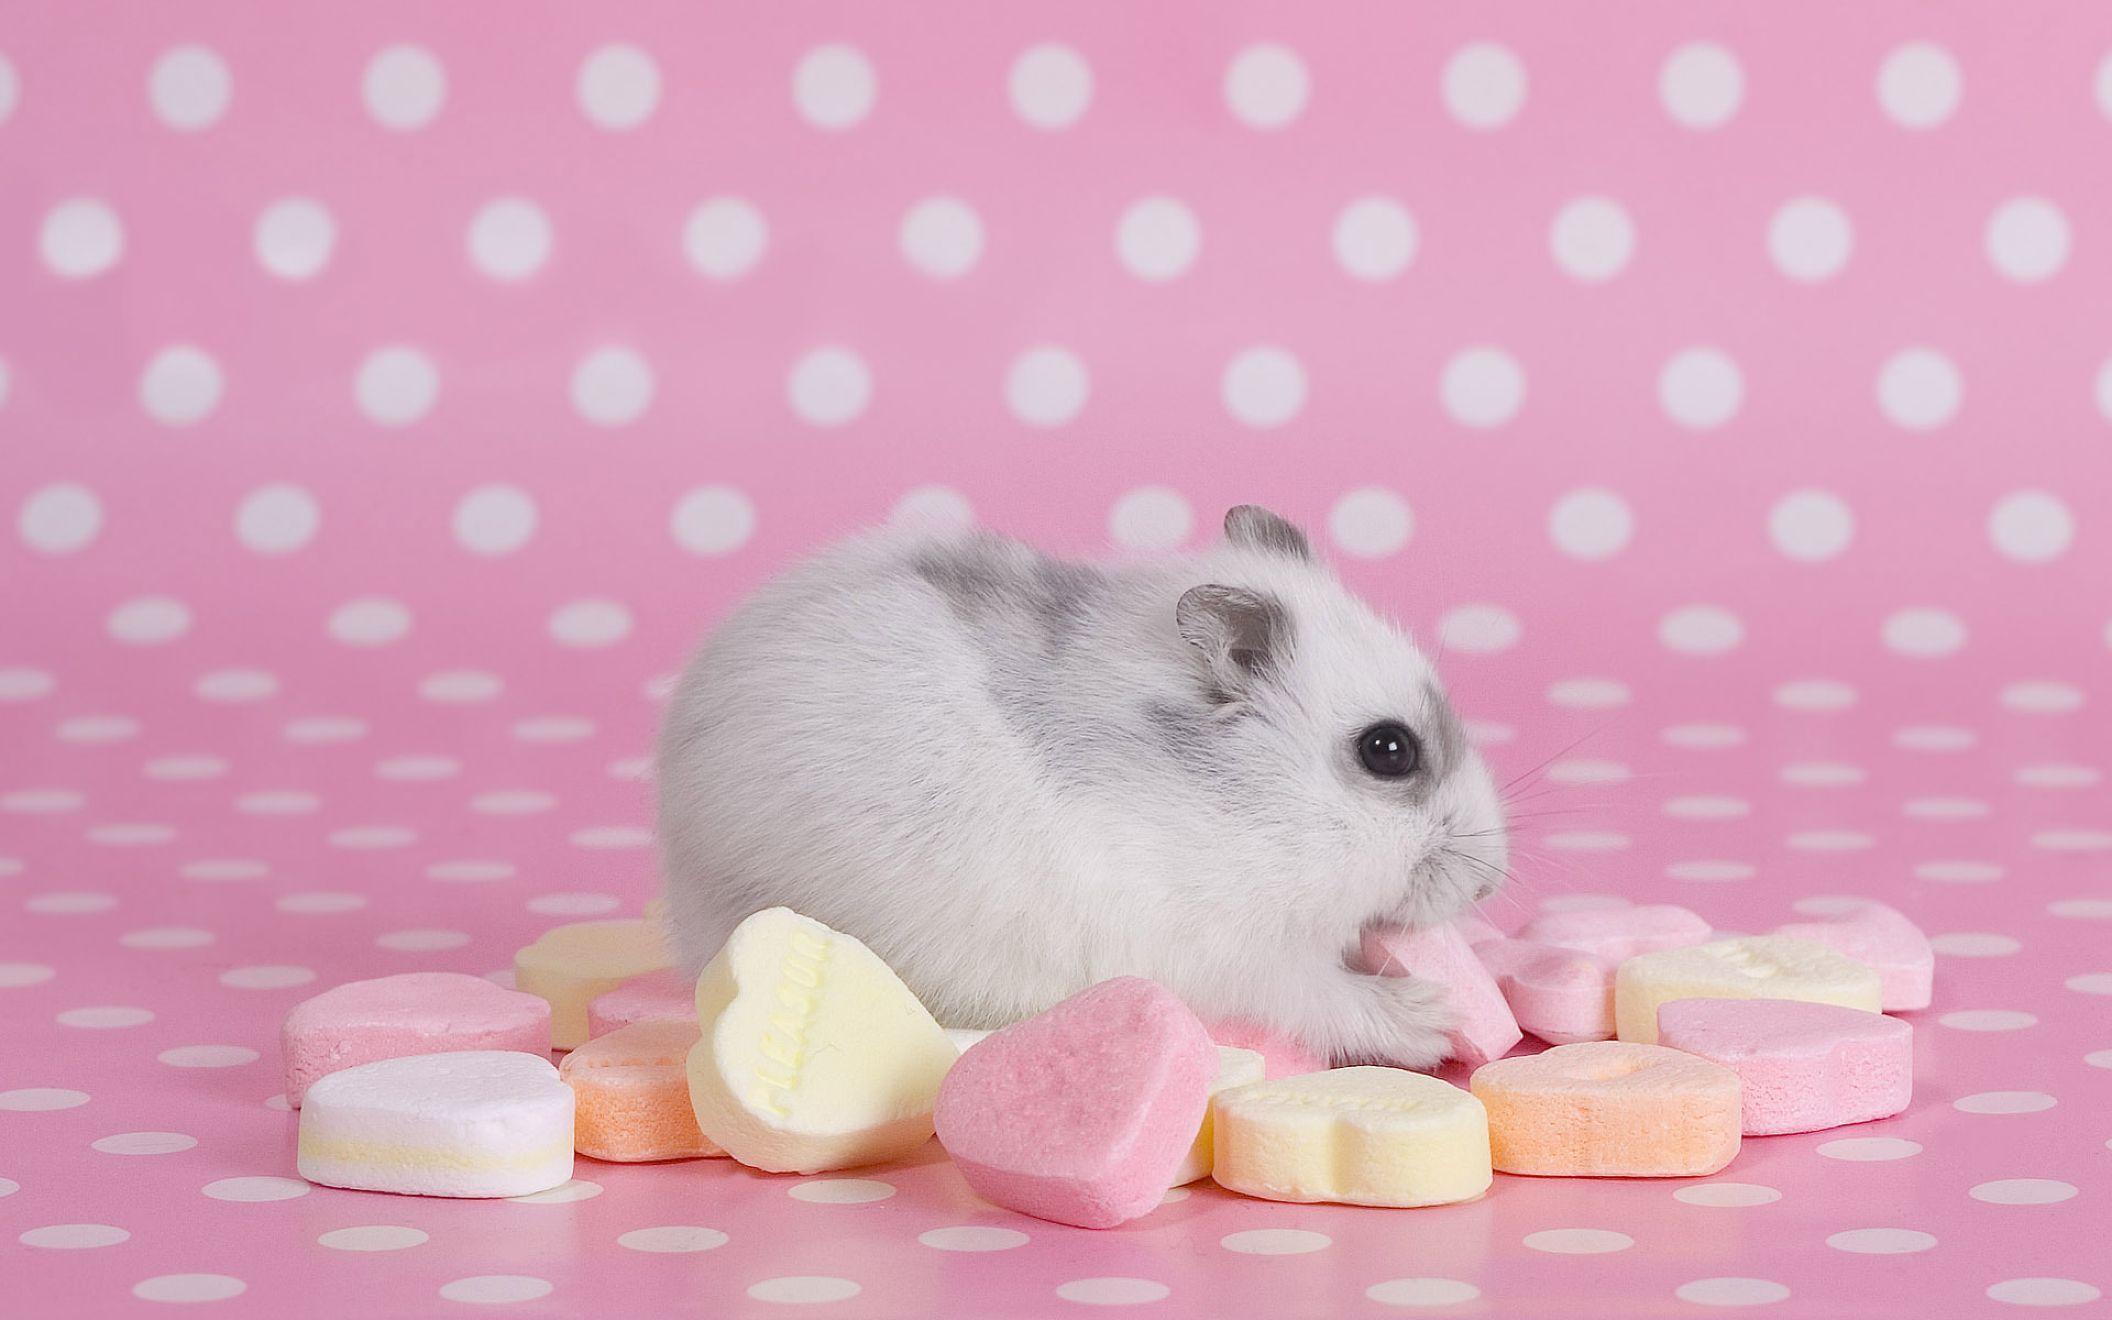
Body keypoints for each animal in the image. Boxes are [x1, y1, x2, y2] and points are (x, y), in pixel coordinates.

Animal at [655, 505, 1508, 1069]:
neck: (1240, 811)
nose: (1491, 885)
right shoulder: (1225, 956)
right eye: (1388, 750)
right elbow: (1318, 992)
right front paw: (1432, 1019)